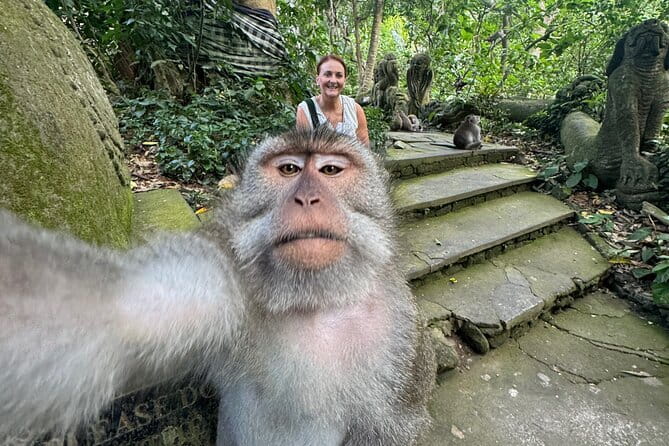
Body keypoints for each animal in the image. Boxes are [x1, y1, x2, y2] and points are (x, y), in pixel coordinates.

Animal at [0, 127, 435, 445]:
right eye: (289, 170)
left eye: (330, 171)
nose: (307, 198)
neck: (312, 300)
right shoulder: (221, 271)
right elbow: (112, 306)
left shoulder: (404, 341)